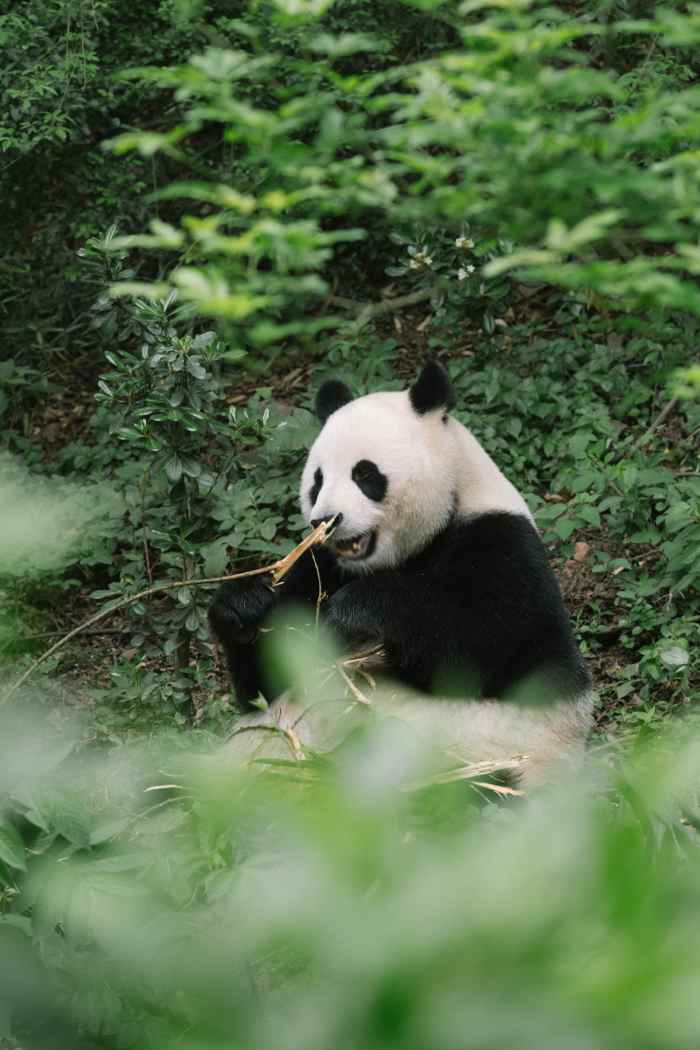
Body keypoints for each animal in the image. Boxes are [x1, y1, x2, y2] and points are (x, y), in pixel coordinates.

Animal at [209, 361, 593, 786]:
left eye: (365, 474)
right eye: (318, 480)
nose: (325, 520)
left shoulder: (502, 545)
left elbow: (501, 647)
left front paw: (355, 610)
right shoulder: (320, 567)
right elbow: (267, 680)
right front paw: (244, 605)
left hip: (492, 760)